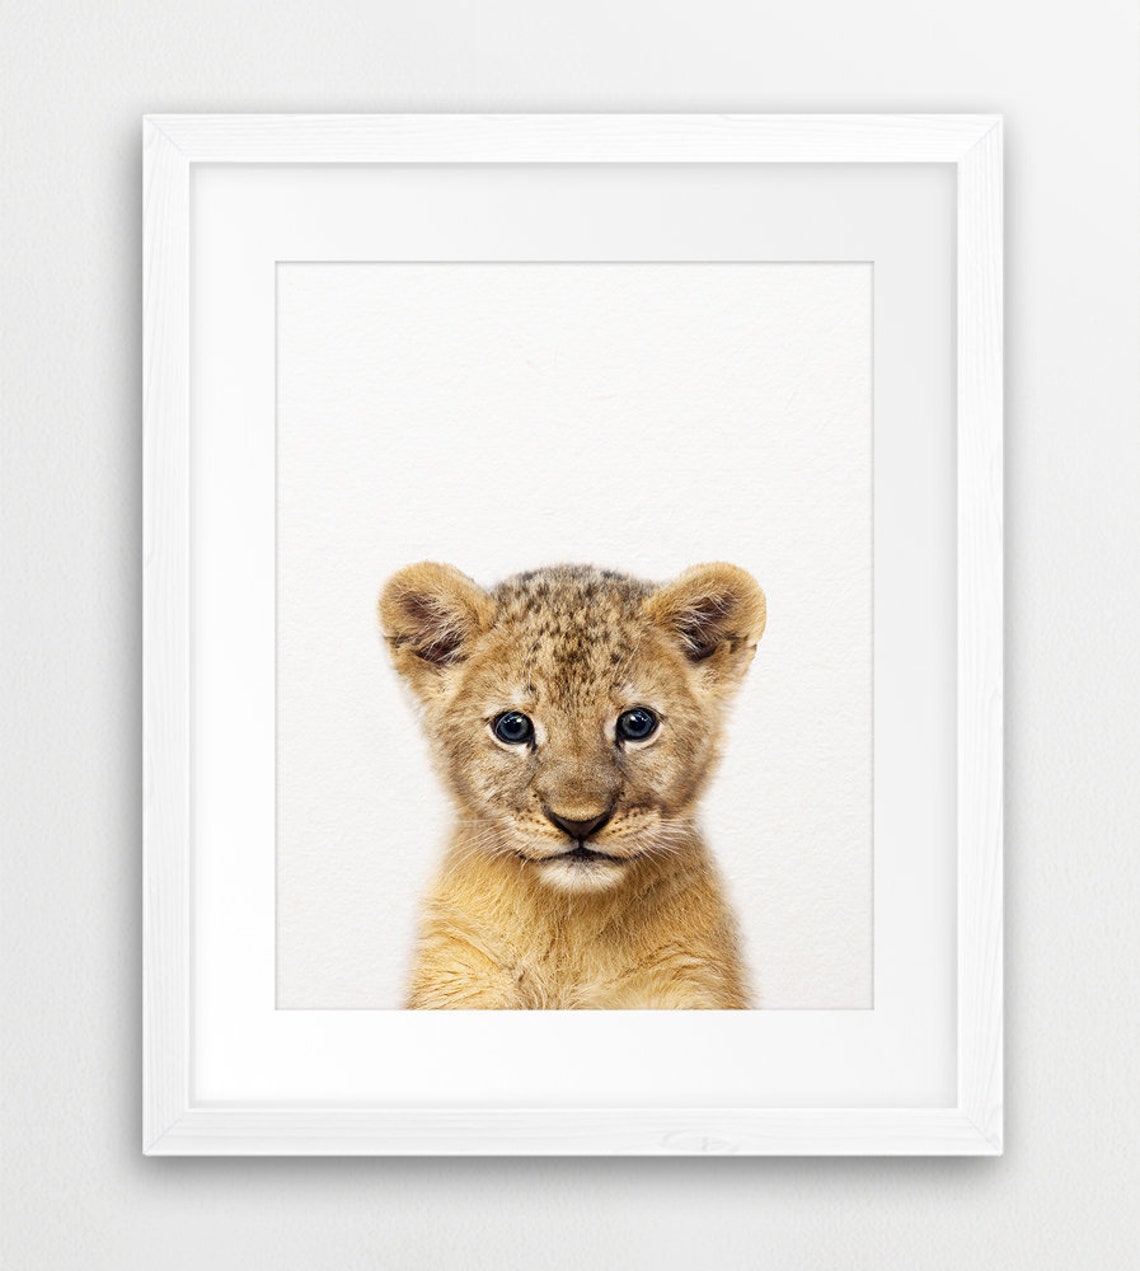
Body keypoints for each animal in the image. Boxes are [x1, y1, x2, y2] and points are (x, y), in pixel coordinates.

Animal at [378, 561, 766, 1009]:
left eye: (637, 724)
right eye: (513, 727)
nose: (579, 822)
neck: (567, 923)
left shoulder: (690, 977)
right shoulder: (457, 971)